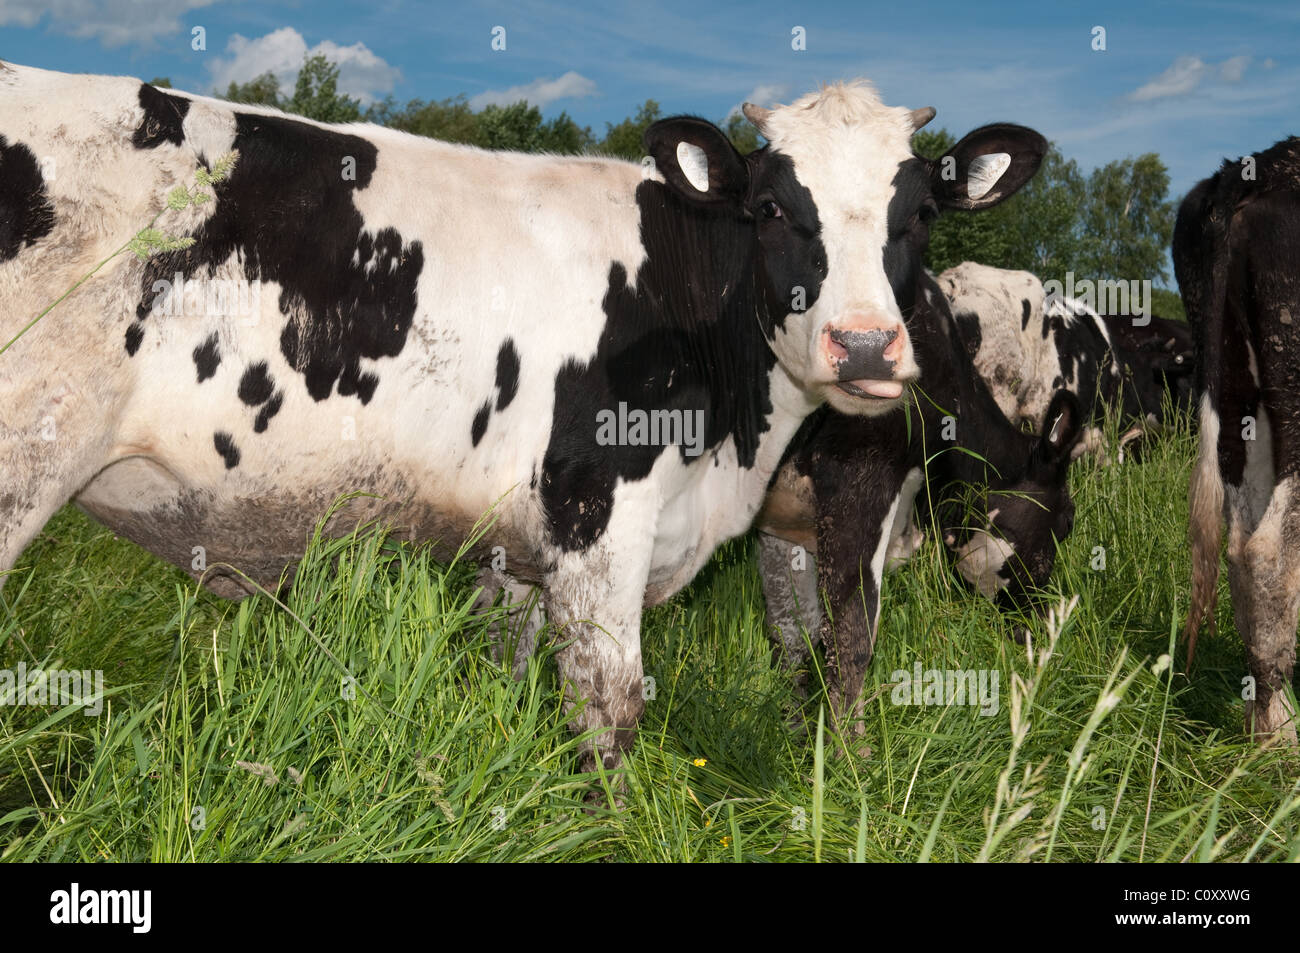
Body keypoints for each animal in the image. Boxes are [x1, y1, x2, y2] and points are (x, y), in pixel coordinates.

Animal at [0, 62, 1046, 777]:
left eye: (919, 214)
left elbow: (513, 679)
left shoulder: (519, 549)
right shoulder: (599, 512)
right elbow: (610, 707)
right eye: (772, 207)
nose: (865, 346)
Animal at [755, 281, 1082, 723]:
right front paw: (846, 741)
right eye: (1066, 523)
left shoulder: (783, 522)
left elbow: (793, 630)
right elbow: (853, 629)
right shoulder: (858, 471)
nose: (1034, 628)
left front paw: (794, 722)